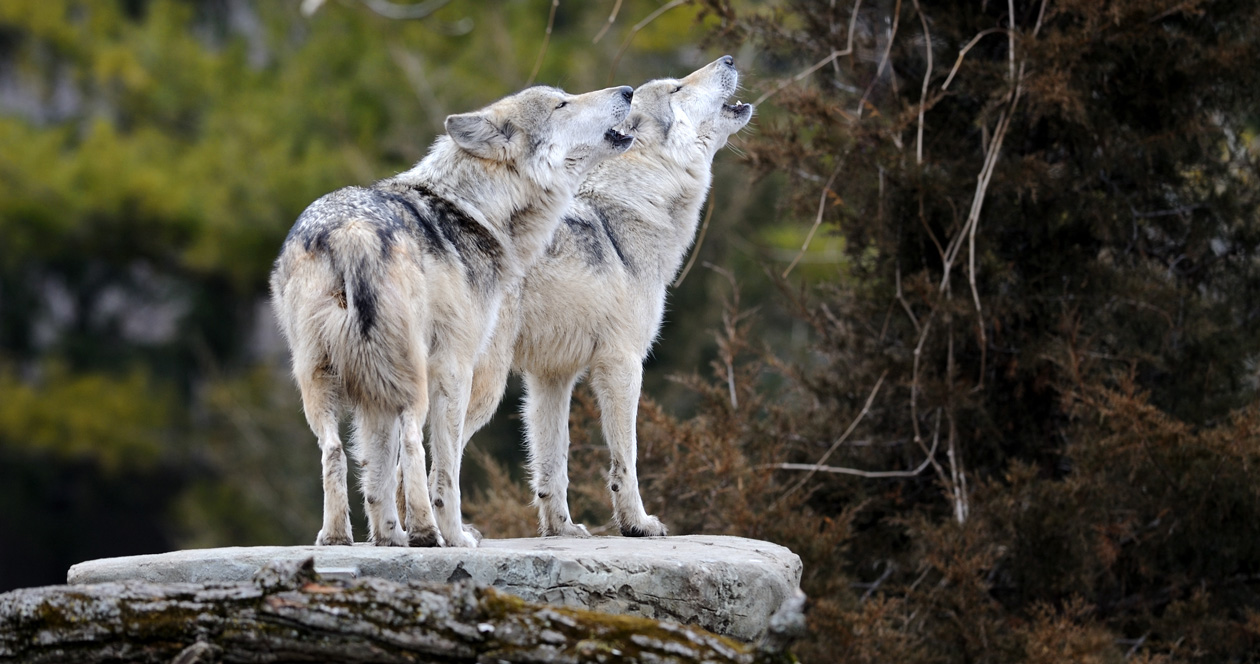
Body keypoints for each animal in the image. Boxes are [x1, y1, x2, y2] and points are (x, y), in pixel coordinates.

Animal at [270, 83, 635, 548]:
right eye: (562, 103)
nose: (627, 90)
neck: (475, 209)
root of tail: (353, 231)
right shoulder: (455, 367)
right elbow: (445, 471)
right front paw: (453, 535)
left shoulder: (374, 394)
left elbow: (377, 476)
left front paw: (388, 537)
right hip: (413, 378)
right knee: (413, 444)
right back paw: (430, 534)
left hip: (322, 380)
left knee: (334, 451)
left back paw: (338, 538)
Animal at [461, 56, 753, 538]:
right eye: (677, 88)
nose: (729, 59)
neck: (633, 207)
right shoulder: (623, 363)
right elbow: (625, 459)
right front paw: (637, 523)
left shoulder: (551, 379)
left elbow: (552, 464)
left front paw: (561, 530)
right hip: (485, 386)